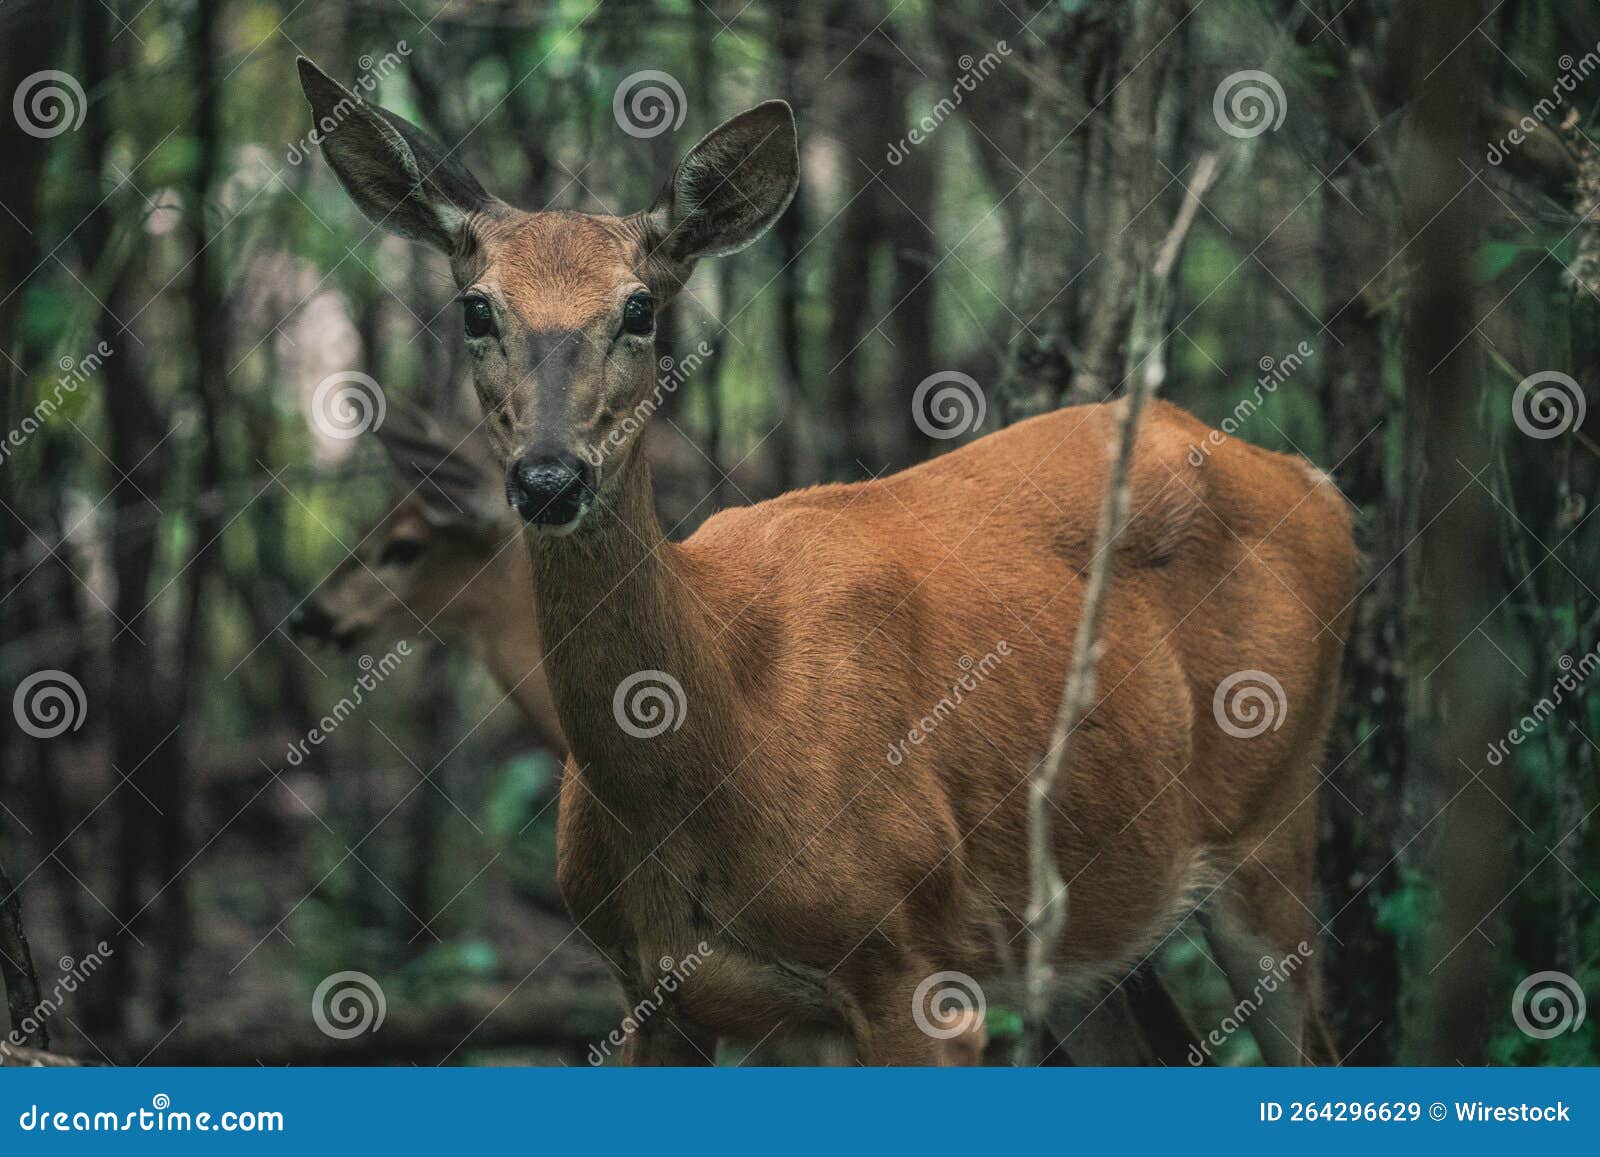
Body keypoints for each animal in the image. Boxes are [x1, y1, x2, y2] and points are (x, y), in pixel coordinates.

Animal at [297, 59, 1356, 1065]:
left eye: (639, 308)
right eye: (476, 309)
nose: (550, 477)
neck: (721, 754)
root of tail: (1319, 485)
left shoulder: (914, 967)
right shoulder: (651, 989)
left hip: (1272, 828)